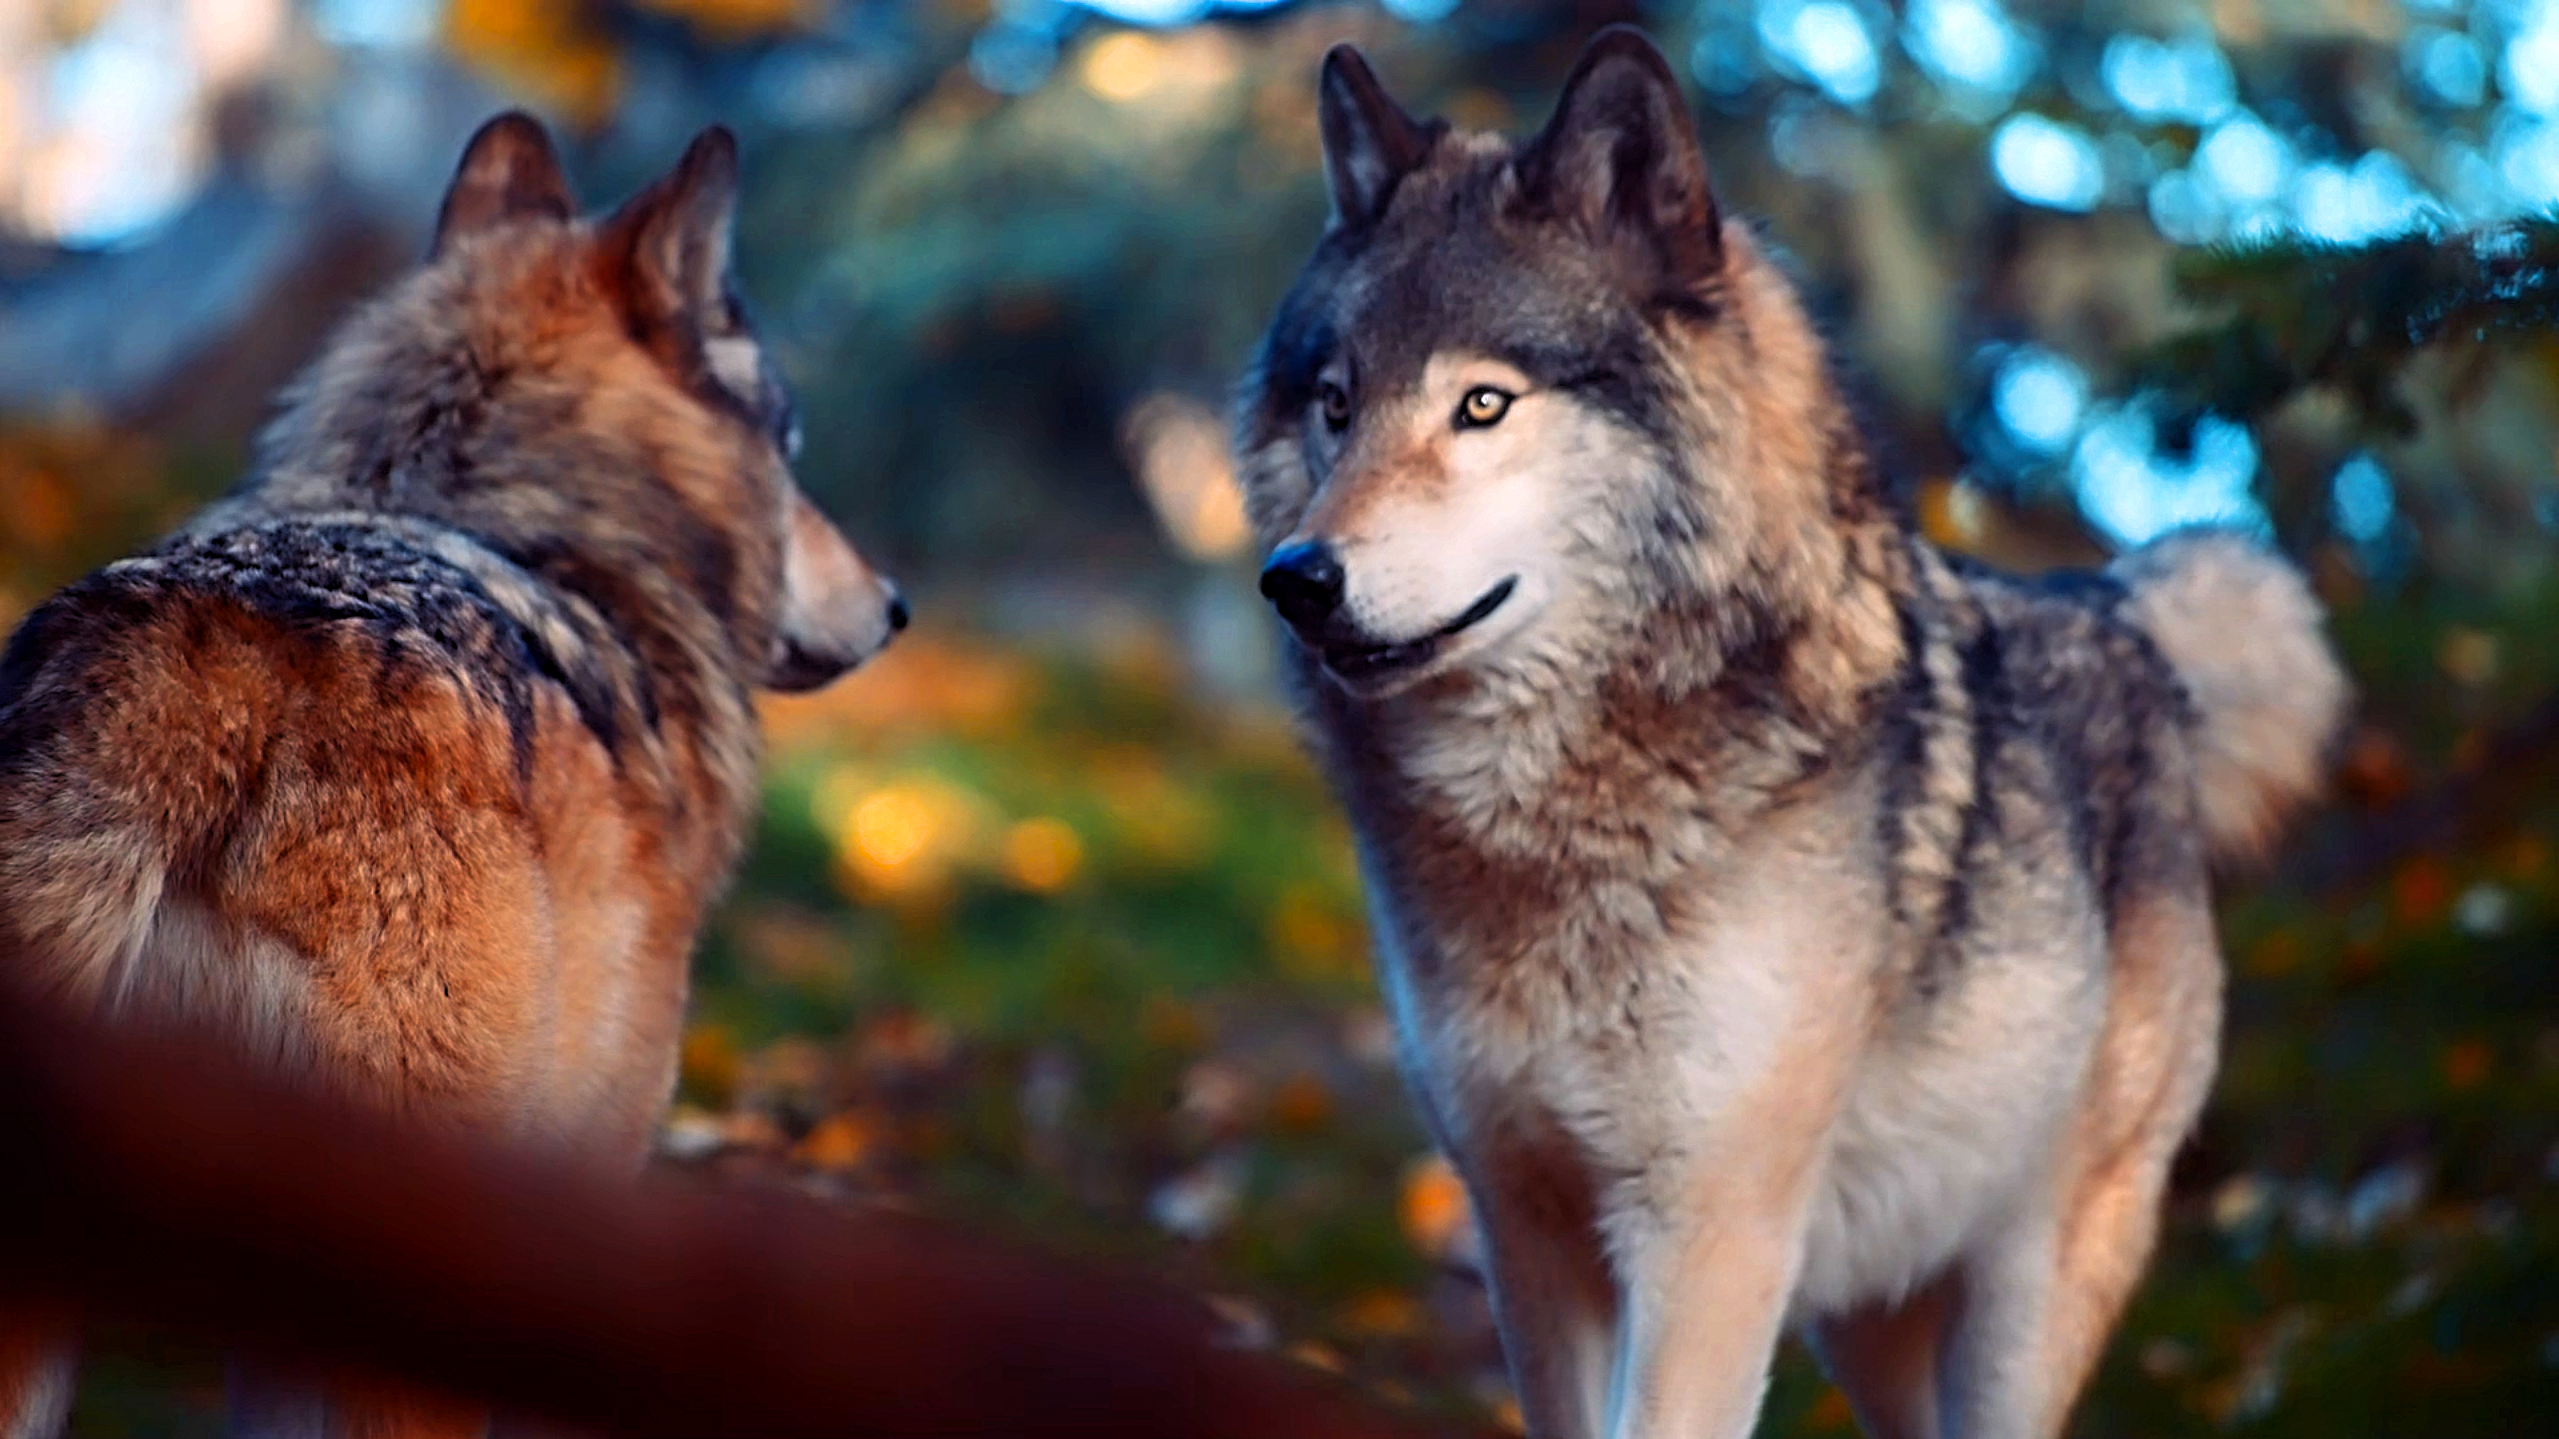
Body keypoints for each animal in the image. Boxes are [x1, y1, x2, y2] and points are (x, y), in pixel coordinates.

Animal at [1238, 29, 2346, 1439]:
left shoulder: (1709, 1232)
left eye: (1482, 405)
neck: (1570, 816)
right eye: (1336, 402)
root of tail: (2118, 608)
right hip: (1863, 1316)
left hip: (2020, 1291)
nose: (1295, 578)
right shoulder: (1523, 1221)